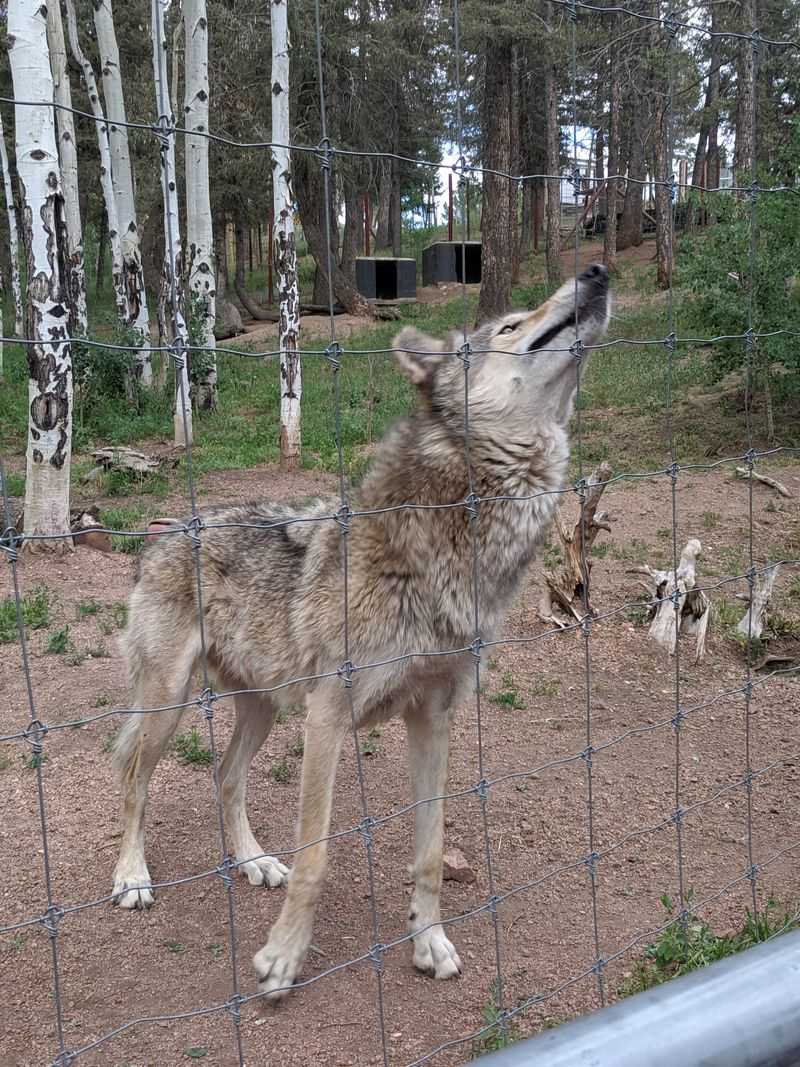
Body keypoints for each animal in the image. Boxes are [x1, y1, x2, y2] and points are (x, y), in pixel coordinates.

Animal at [111, 263, 611, 999]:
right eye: (511, 325)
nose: (597, 272)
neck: (453, 543)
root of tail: (165, 531)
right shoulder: (328, 717)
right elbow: (316, 855)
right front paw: (282, 958)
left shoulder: (434, 715)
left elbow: (430, 851)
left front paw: (429, 942)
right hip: (169, 705)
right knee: (135, 778)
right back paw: (132, 876)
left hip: (261, 707)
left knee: (226, 776)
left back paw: (255, 861)